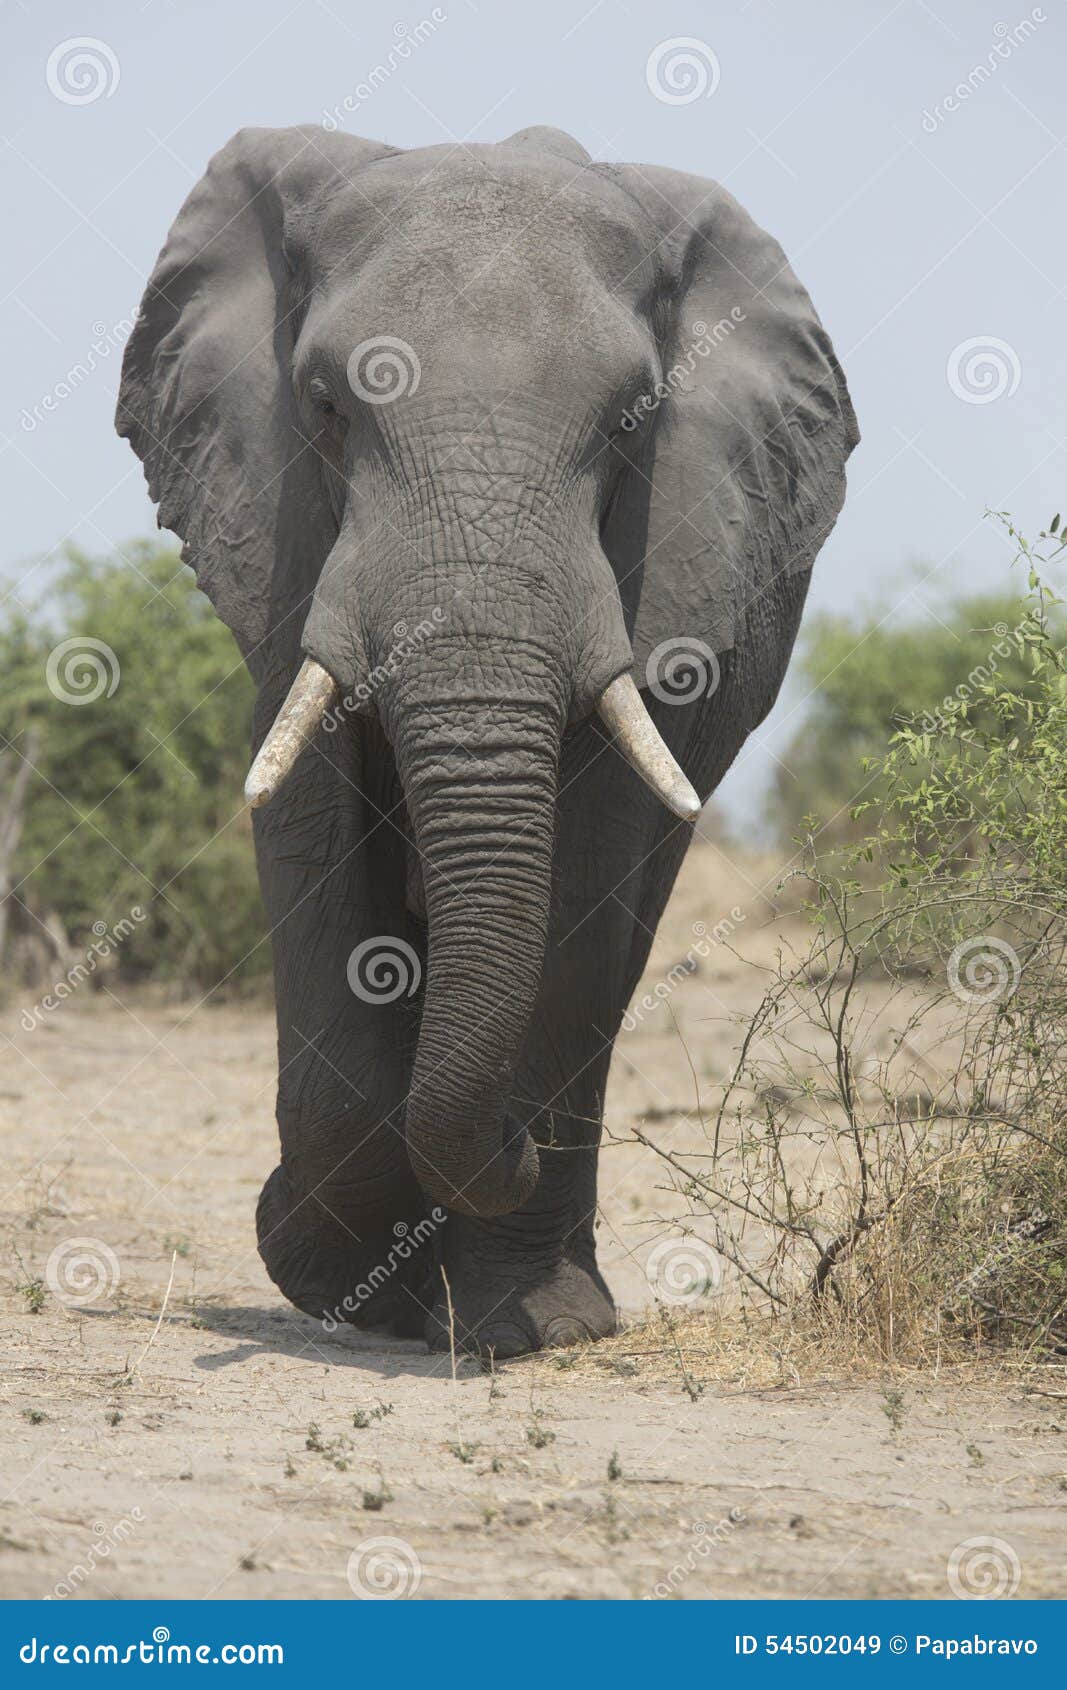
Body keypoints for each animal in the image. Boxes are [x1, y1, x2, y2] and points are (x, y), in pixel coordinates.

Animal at [117, 124, 858, 1357]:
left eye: (631, 421)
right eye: (323, 407)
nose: (509, 1138)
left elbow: (585, 880)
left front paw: (523, 1323)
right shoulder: (283, 540)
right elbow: (316, 851)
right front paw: (351, 1276)